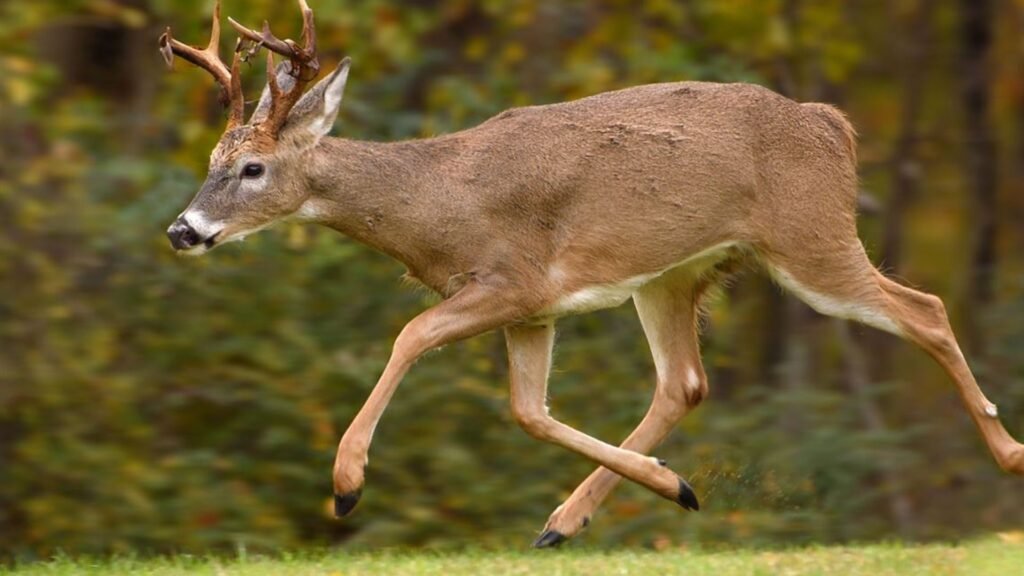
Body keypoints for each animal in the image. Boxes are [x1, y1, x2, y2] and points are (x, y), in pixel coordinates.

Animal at [160, 0, 1024, 548]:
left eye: (253, 168)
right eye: (210, 164)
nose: (182, 230)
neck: (434, 205)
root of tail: (833, 125)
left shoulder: (513, 281)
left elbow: (410, 335)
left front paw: (345, 485)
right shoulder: (532, 313)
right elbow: (527, 411)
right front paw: (669, 485)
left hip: (811, 239)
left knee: (926, 308)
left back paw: (1010, 454)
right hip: (672, 275)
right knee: (685, 383)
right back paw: (574, 519)